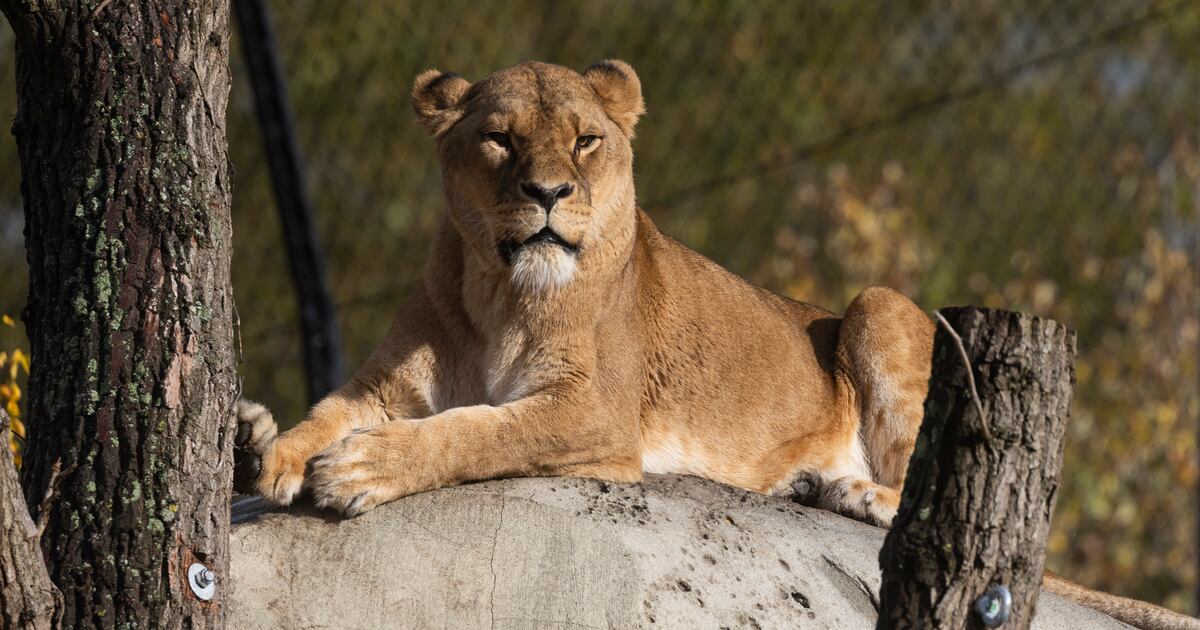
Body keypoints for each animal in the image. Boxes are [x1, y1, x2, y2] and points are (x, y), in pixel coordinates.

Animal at [233, 60, 1199, 630]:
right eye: (499, 138)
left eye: (586, 140)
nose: (548, 193)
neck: (499, 289)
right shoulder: (384, 384)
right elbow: (331, 409)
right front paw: (269, 450)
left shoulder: (592, 415)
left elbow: (474, 430)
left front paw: (360, 469)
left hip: (878, 302)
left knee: (910, 470)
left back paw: (871, 498)